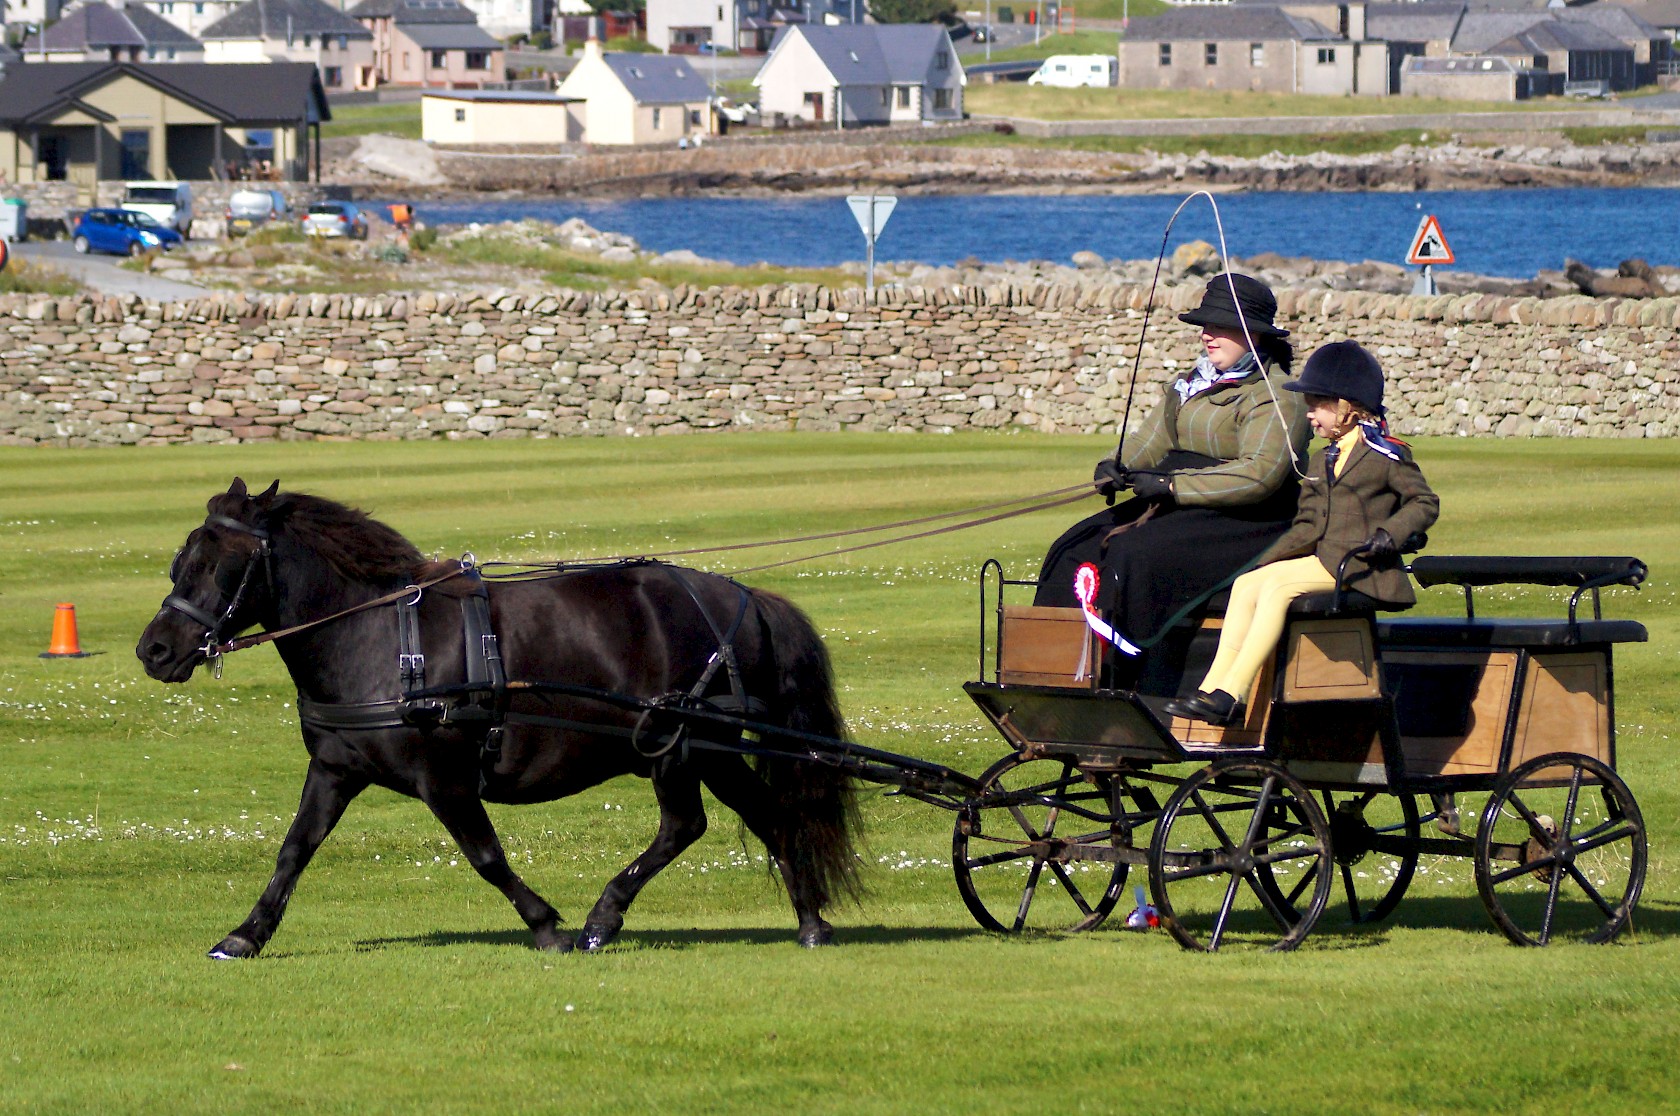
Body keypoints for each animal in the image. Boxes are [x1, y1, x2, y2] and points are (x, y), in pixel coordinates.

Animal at [136, 478, 860, 957]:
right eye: (180, 561)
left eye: (218, 564)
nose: (155, 650)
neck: (377, 636)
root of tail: (742, 596)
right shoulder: (337, 768)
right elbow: (294, 850)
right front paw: (245, 934)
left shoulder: (444, 778)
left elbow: (484, 854)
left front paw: (545, 924)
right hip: (708, 748)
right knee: (766, 816)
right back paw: (808, 920)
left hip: (679, 742)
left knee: (687, 825)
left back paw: (604, 917)